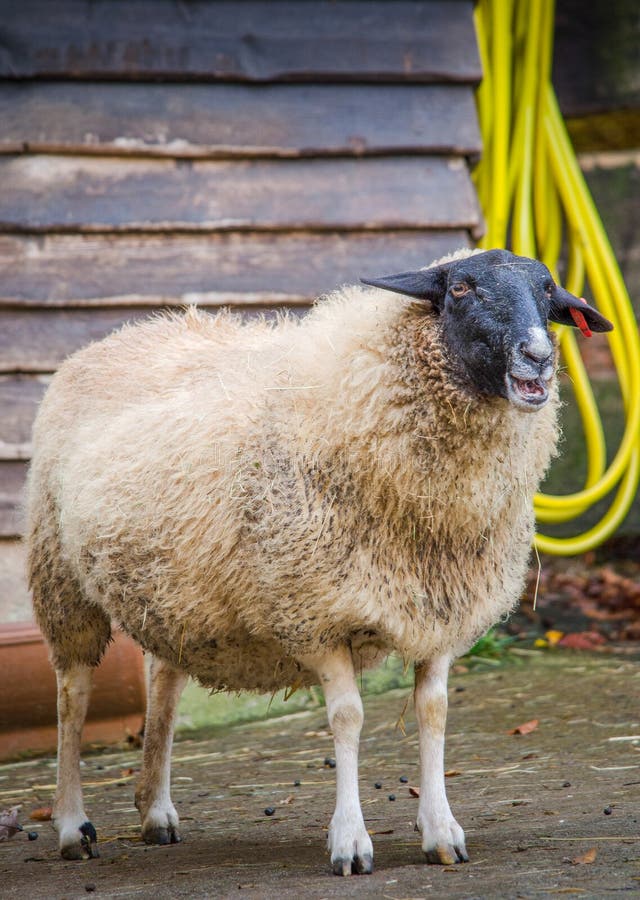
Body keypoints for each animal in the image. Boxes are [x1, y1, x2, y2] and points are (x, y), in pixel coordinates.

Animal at [26, 248, 612, 874]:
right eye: (459, 288)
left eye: (549, 293)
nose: (539, 357)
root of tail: (119, 335)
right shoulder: (317, 610)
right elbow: (347, 717)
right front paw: (350, 841)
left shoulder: (438, 608)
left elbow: (433, 712)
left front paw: (441, 830)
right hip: (61, 577)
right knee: (72, 697)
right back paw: (71, 825)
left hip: (173, 590)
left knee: (164, 682)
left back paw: (155, 812)